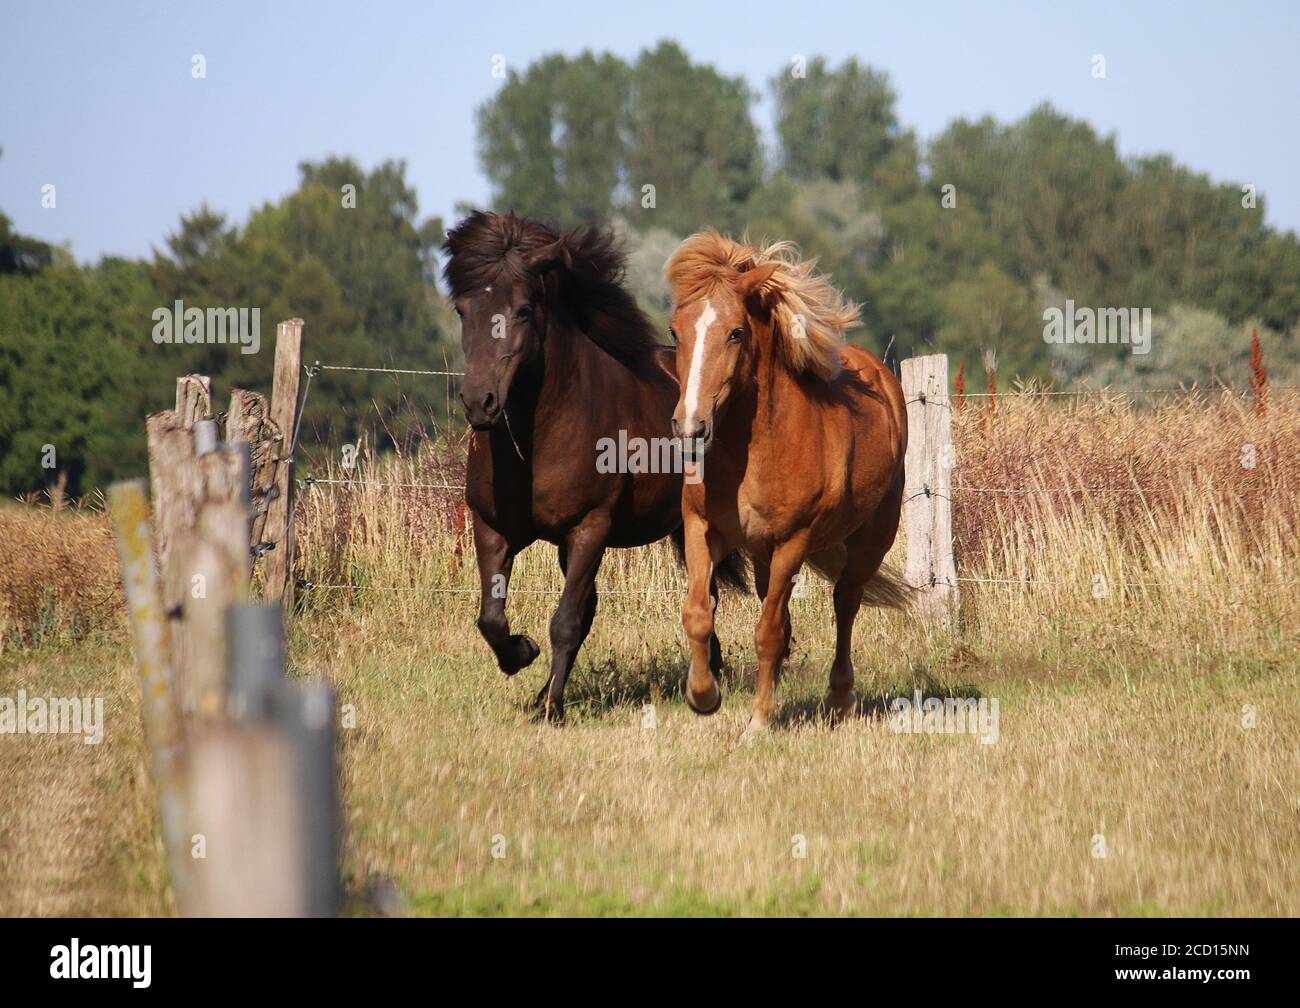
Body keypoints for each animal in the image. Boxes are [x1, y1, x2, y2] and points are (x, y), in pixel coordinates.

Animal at [443, 211, 740, 720]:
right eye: (463, 311)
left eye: (524, 310)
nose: (480, 403)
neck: (538, 440)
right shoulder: (493, 528)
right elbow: (491, 618)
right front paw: (523, 657)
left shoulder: (589, 529)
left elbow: (564, 620)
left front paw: (552, 708)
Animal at [664, 231, 909, 737]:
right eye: (676, 332)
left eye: (736, 332)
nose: (690, 428)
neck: (754, 451)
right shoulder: (703, 528)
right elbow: (698, 613)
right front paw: (703, 697)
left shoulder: (793, 542)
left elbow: (769, 633)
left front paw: (757, 723)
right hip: (763, 556)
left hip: (869, 541)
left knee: (845, 603)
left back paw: (839, 700)